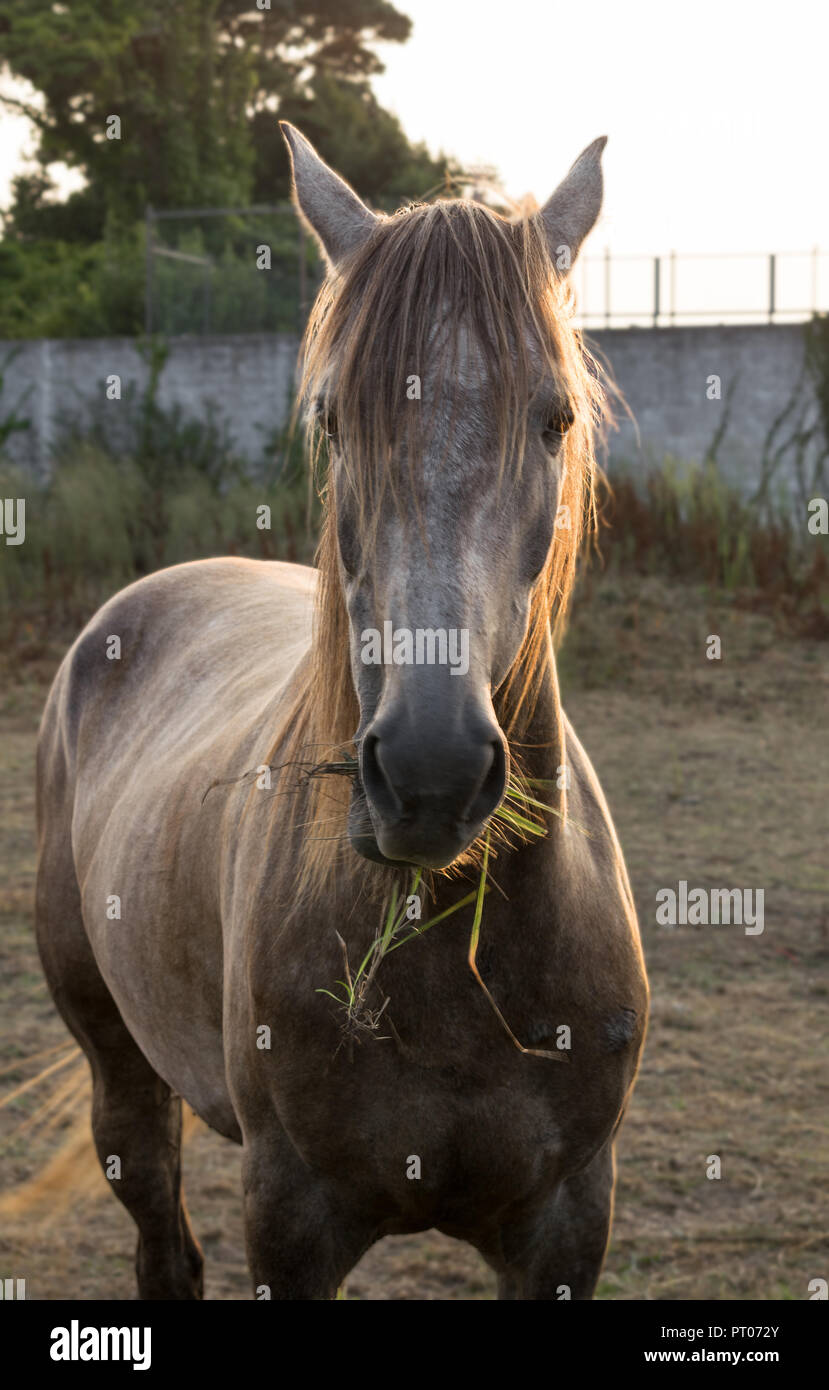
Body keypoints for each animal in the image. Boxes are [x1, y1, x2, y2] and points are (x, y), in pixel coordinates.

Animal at [33, 123, 648, 1300]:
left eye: (554, 418)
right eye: (334, 417)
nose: (428, 772)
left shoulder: (567, 1223)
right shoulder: (291, 1220)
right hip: (120, 1071)